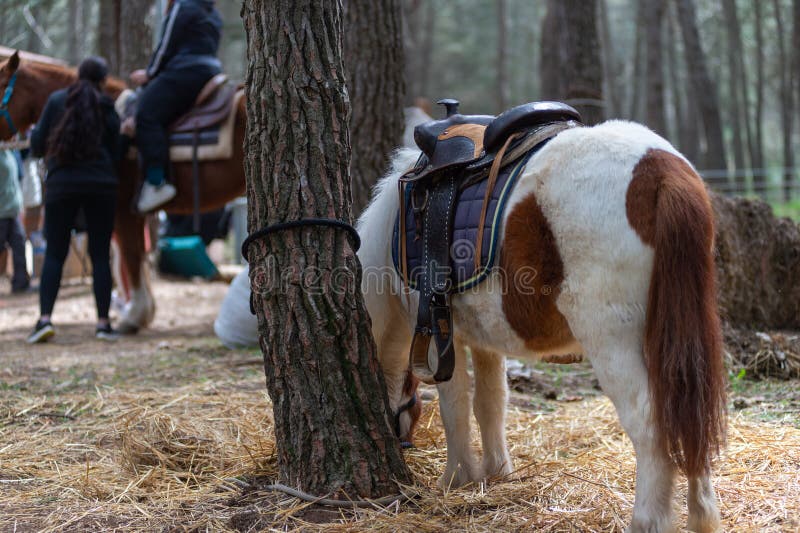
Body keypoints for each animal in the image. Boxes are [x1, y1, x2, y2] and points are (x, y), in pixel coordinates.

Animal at [0, 51, 246, 332]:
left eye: (0, 85)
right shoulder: (129, 214)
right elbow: (131, 259)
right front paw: (140, 312)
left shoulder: (121, 210)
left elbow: (131, 257)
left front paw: (134, 315)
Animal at [357, 120, 726, 533]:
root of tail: (661, 169)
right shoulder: (483, 342)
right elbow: (490, 402)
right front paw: (497, 471)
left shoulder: (439, 337)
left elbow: (455, 408)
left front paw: (457, 478)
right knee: (689, 415)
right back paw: (702, 513)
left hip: (612, 341)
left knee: (650, 421)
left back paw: (648, 520)